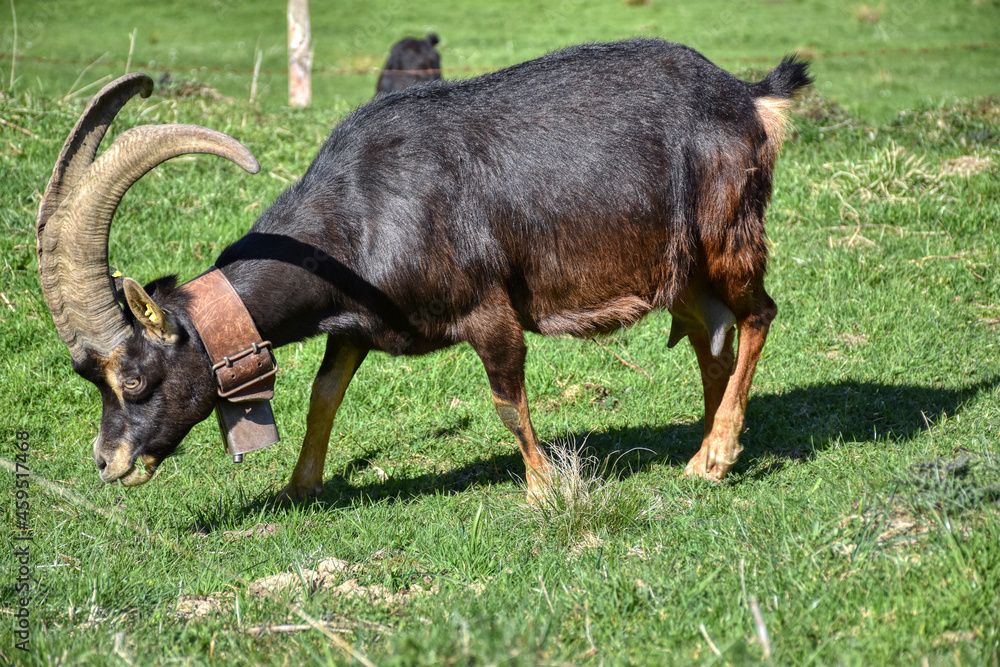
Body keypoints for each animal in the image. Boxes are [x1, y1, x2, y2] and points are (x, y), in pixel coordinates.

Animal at [36, 39, 811, 503]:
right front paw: (298, 486)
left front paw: (541, 490)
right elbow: (324, 394)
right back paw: (710, 440)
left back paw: (714, 455)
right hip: (684, 268)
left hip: (727, 233)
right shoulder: (355, 325)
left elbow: (507, 398)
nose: (109, 463)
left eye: (136, 381)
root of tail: (749, 96)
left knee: (758, 316)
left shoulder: (487, 308)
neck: (363, 209)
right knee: (713, 337)